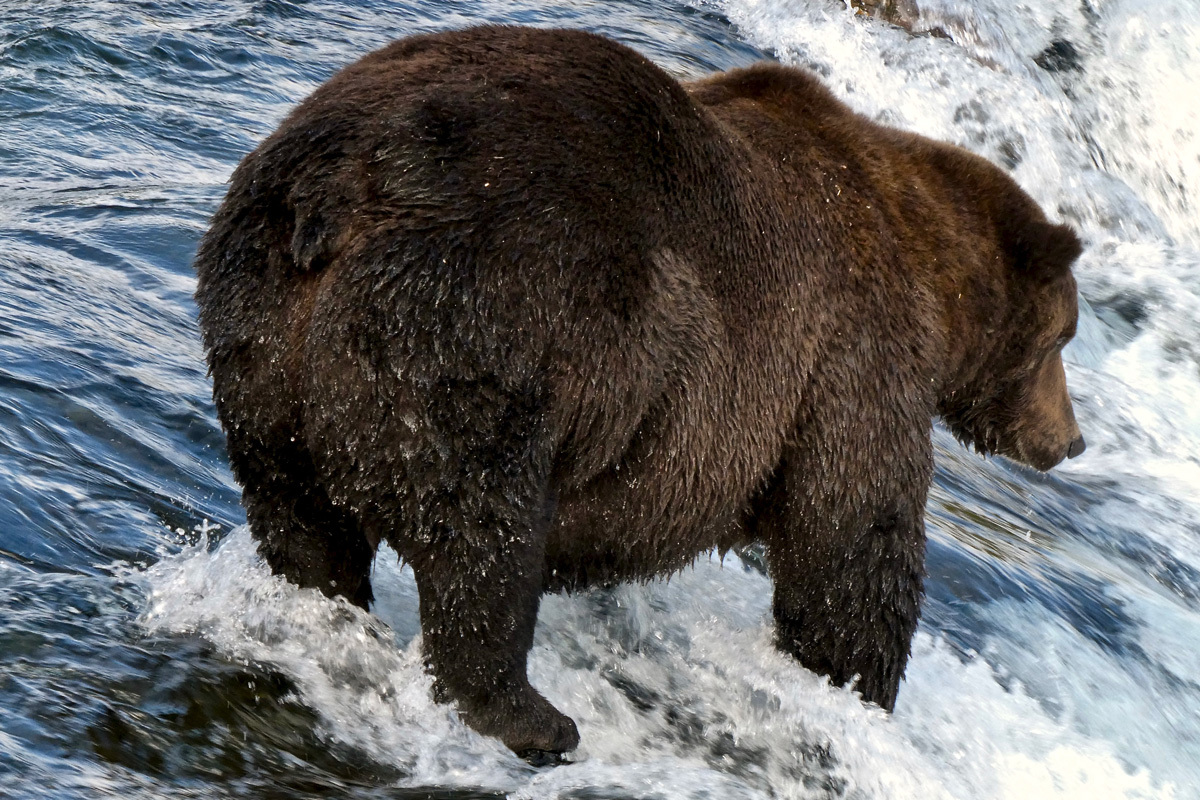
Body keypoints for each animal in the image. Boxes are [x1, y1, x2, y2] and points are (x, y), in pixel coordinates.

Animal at [193, 25, 1085, 759]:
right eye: (1065, 340)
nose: (1071, 439)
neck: (940, 280)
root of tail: (335, 191)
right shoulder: (854, 346)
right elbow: (853, 530)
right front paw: (856, 687)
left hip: (260, 335)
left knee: (299, 513)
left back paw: (322, 603)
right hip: (490, 322)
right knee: (483, 537)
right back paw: (532, 719)